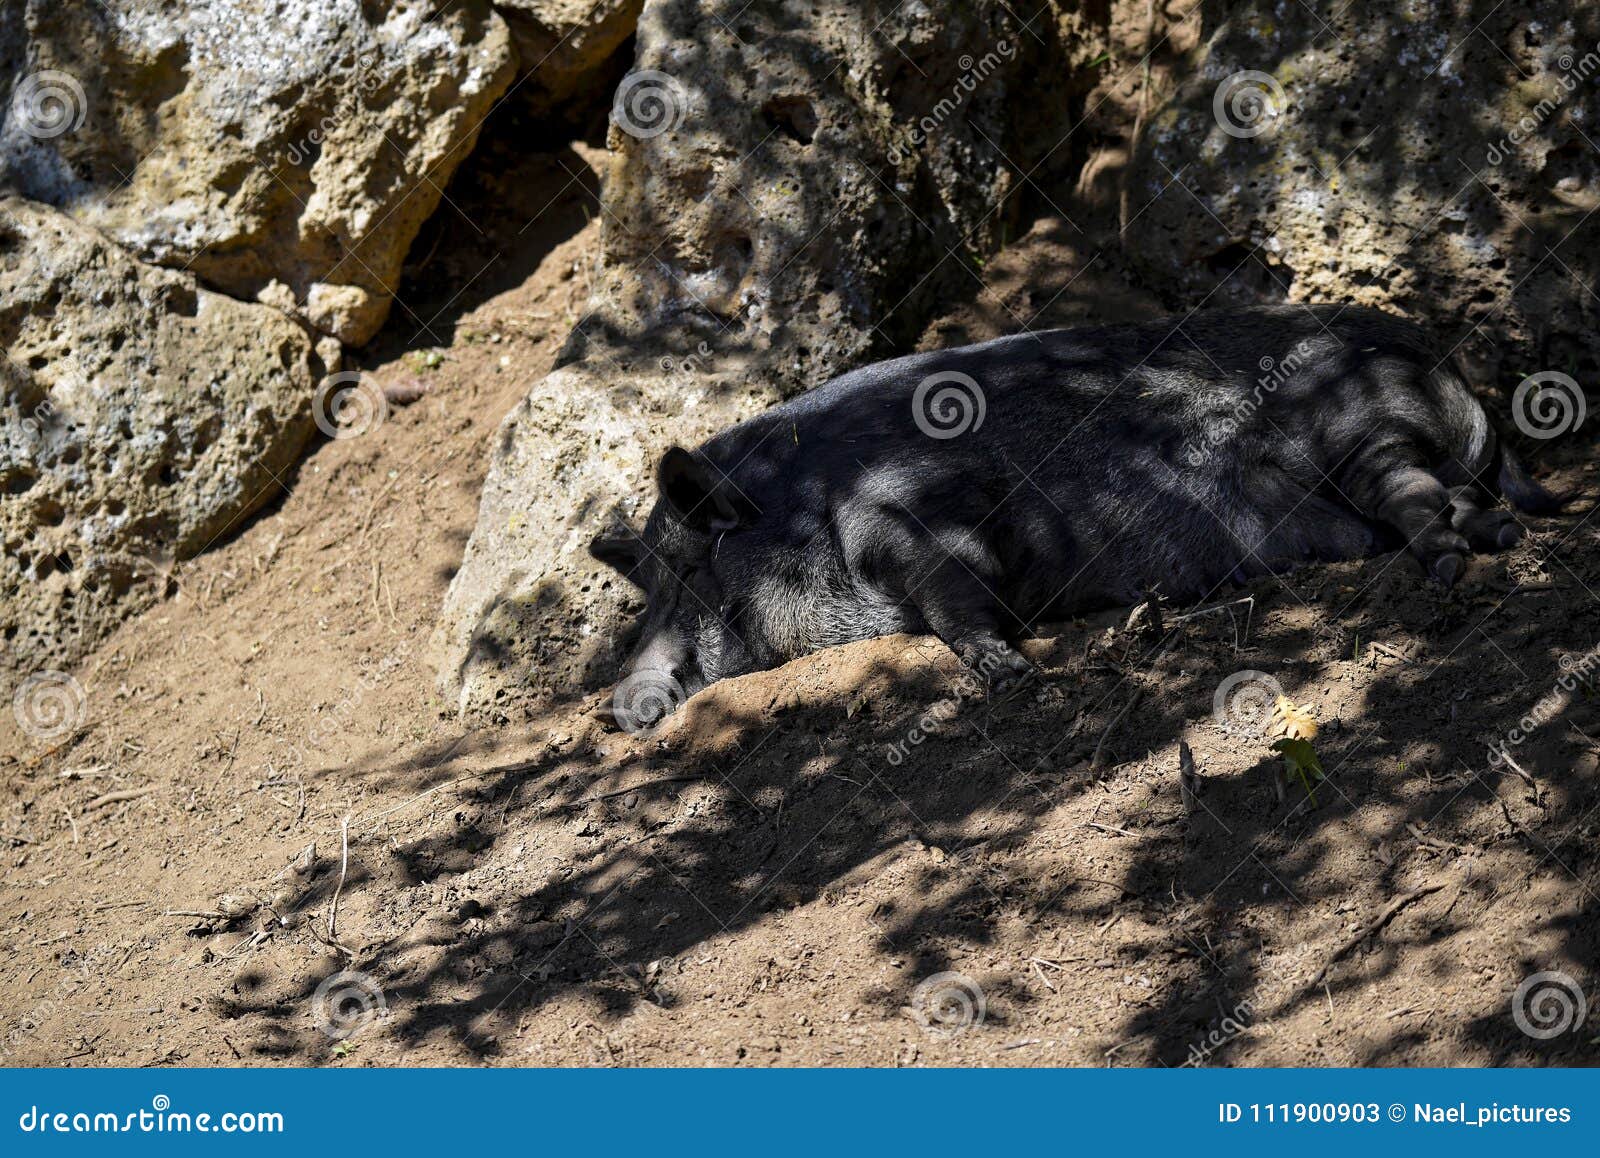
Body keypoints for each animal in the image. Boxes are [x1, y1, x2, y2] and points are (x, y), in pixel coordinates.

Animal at [591, 305, 1561, 728]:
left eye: (690, 569)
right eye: (644, 582)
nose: (612, 705)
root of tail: (1449, 366)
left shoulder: (914, 512)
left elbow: (951, 595)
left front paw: (1010, 674)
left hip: (1362, 421)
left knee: (1414, 495)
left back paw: (1451, 564)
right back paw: (1491, 539)